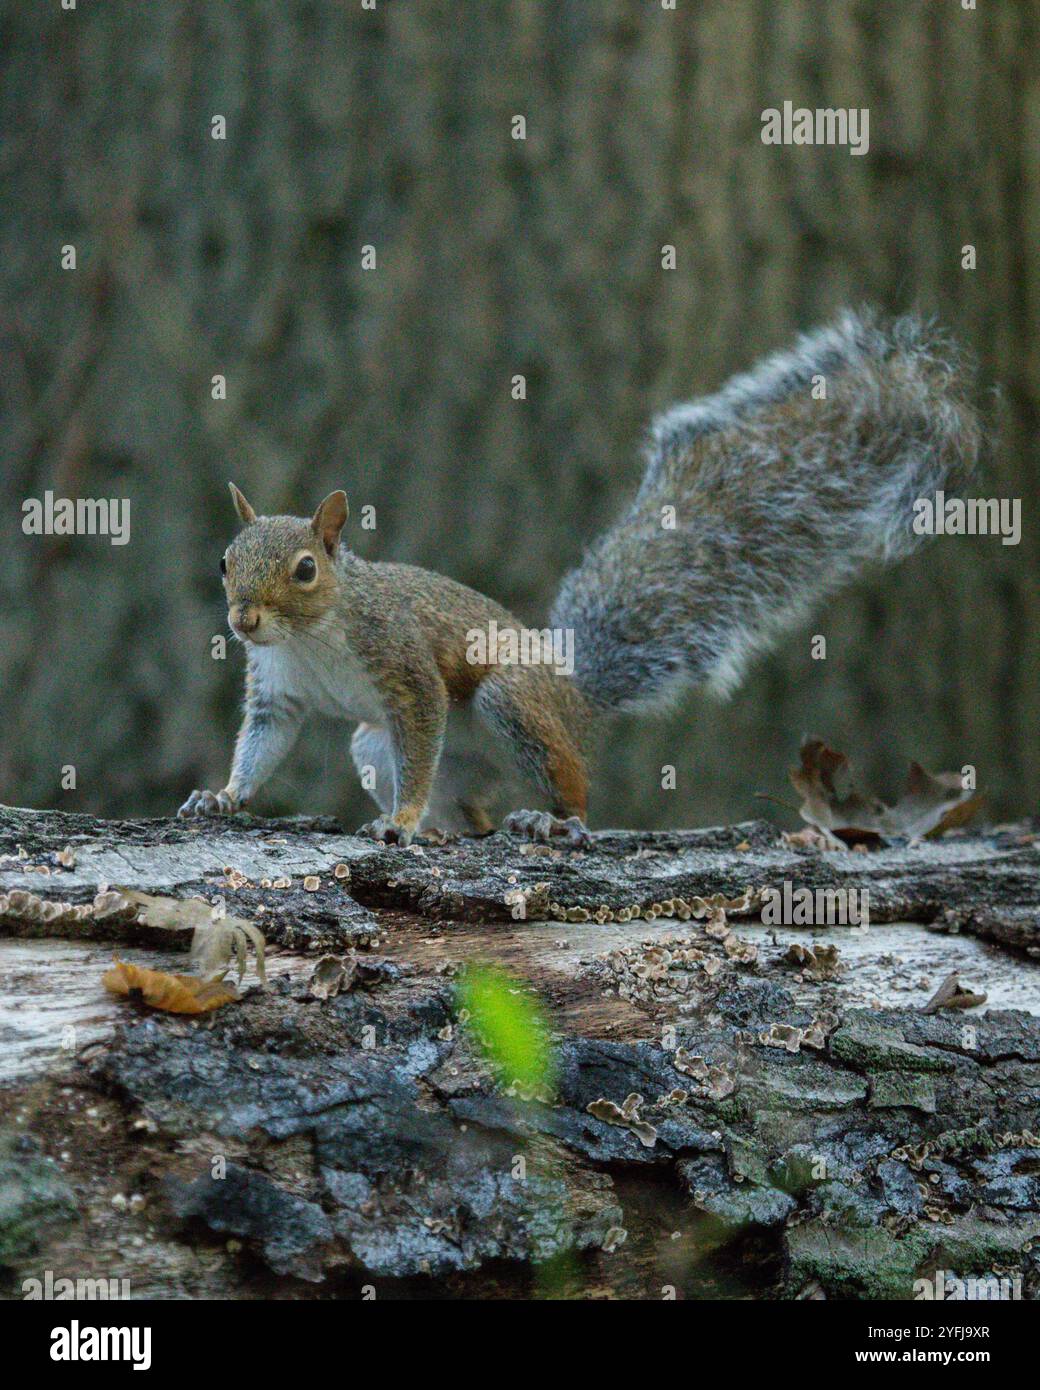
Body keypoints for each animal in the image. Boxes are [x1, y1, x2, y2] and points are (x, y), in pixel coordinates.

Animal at [178, 308, 980, 846]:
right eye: (225, 561)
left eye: (306, 569)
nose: (242, 621)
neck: (310, 638)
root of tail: (574, 694)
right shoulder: (278, 692)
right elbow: (263, 747)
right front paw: (221, 797)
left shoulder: (405, 669)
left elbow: (423, 729)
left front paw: (401, 822)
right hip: (374, 748)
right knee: (470, 812)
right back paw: (451, 828)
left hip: (513, 703)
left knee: (572, 788)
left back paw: (553, 822)